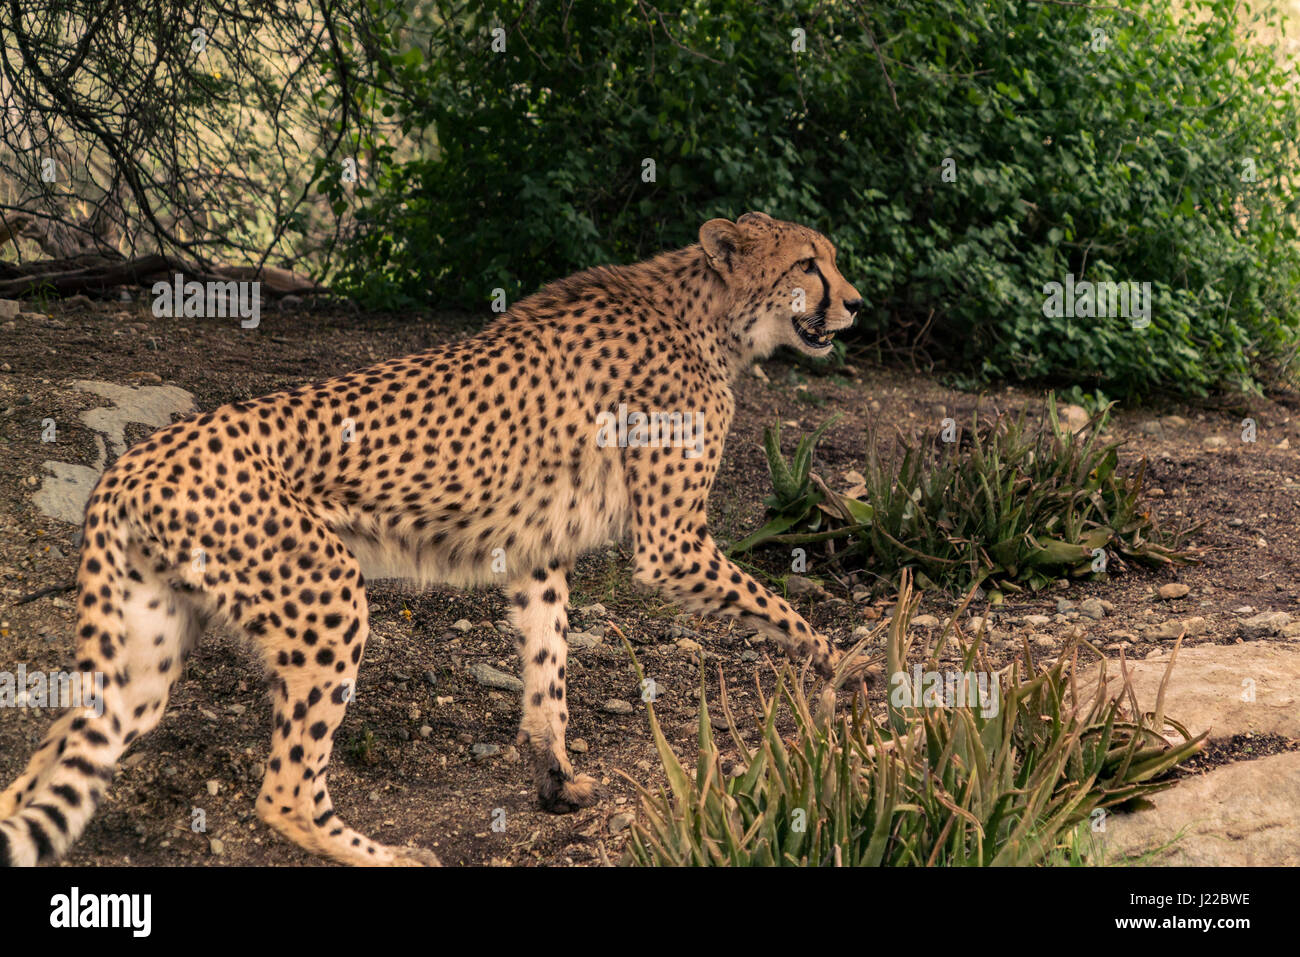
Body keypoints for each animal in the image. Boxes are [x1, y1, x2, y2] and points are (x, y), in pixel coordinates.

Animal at [0, 211, 863, 866]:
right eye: (808, 262)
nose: (856, 305)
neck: (711, 316)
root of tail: (130, 464)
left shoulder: (537, 551)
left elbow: (548, 665)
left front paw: (555, 772)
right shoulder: (671, 542)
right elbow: (777, 607)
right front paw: (839, 667)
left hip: (142, 660)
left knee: (47, 764)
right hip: (328, 600)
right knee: (284, 789)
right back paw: (387, 854)